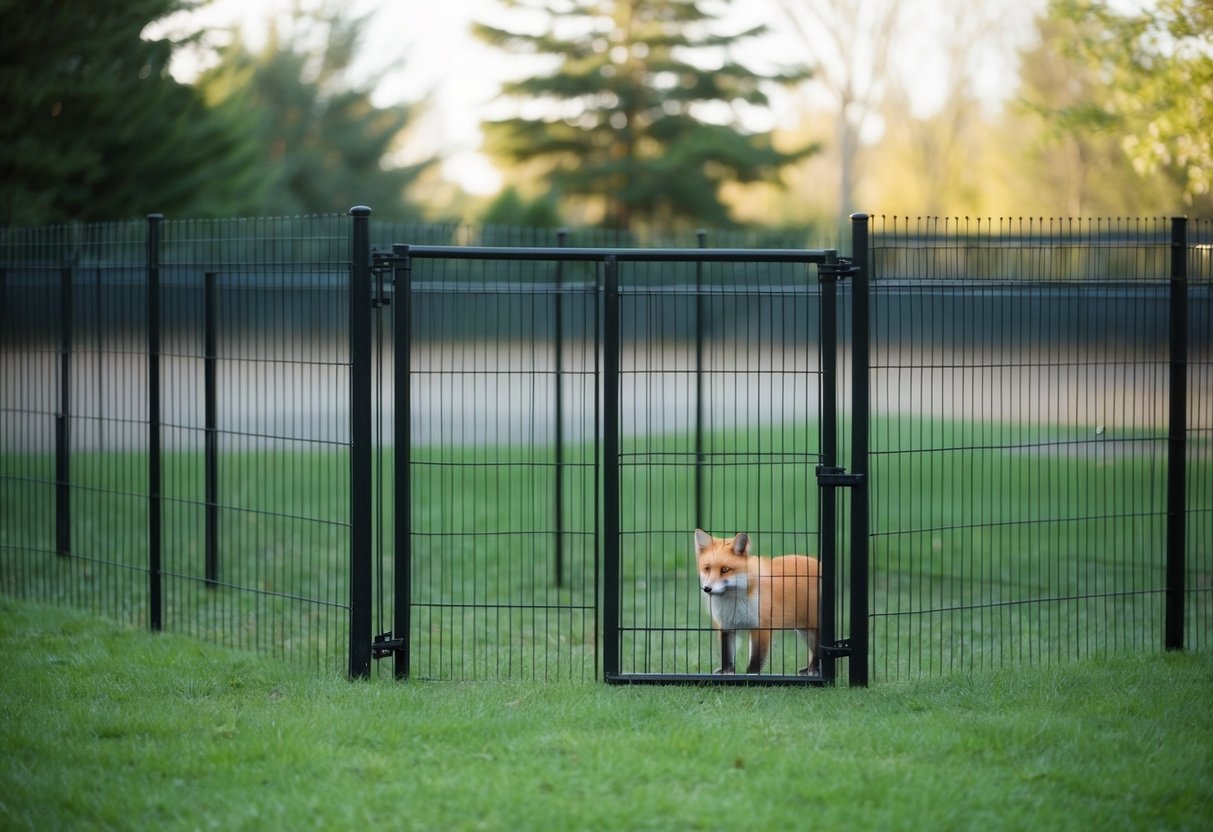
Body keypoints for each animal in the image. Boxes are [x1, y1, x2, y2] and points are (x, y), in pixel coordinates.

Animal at [694, 528, 821, 675]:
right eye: (707, 568)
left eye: (725, 569)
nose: (707, 589)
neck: (734, 602)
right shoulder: (726, 626)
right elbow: (727, 657)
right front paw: (727, 673)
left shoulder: (760, 627)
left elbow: (754, 662)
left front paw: (751, 677)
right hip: (804, 631)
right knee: (815, 651)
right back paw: (810, 669)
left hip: (811, 629)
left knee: (818, 651)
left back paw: (813, 670)